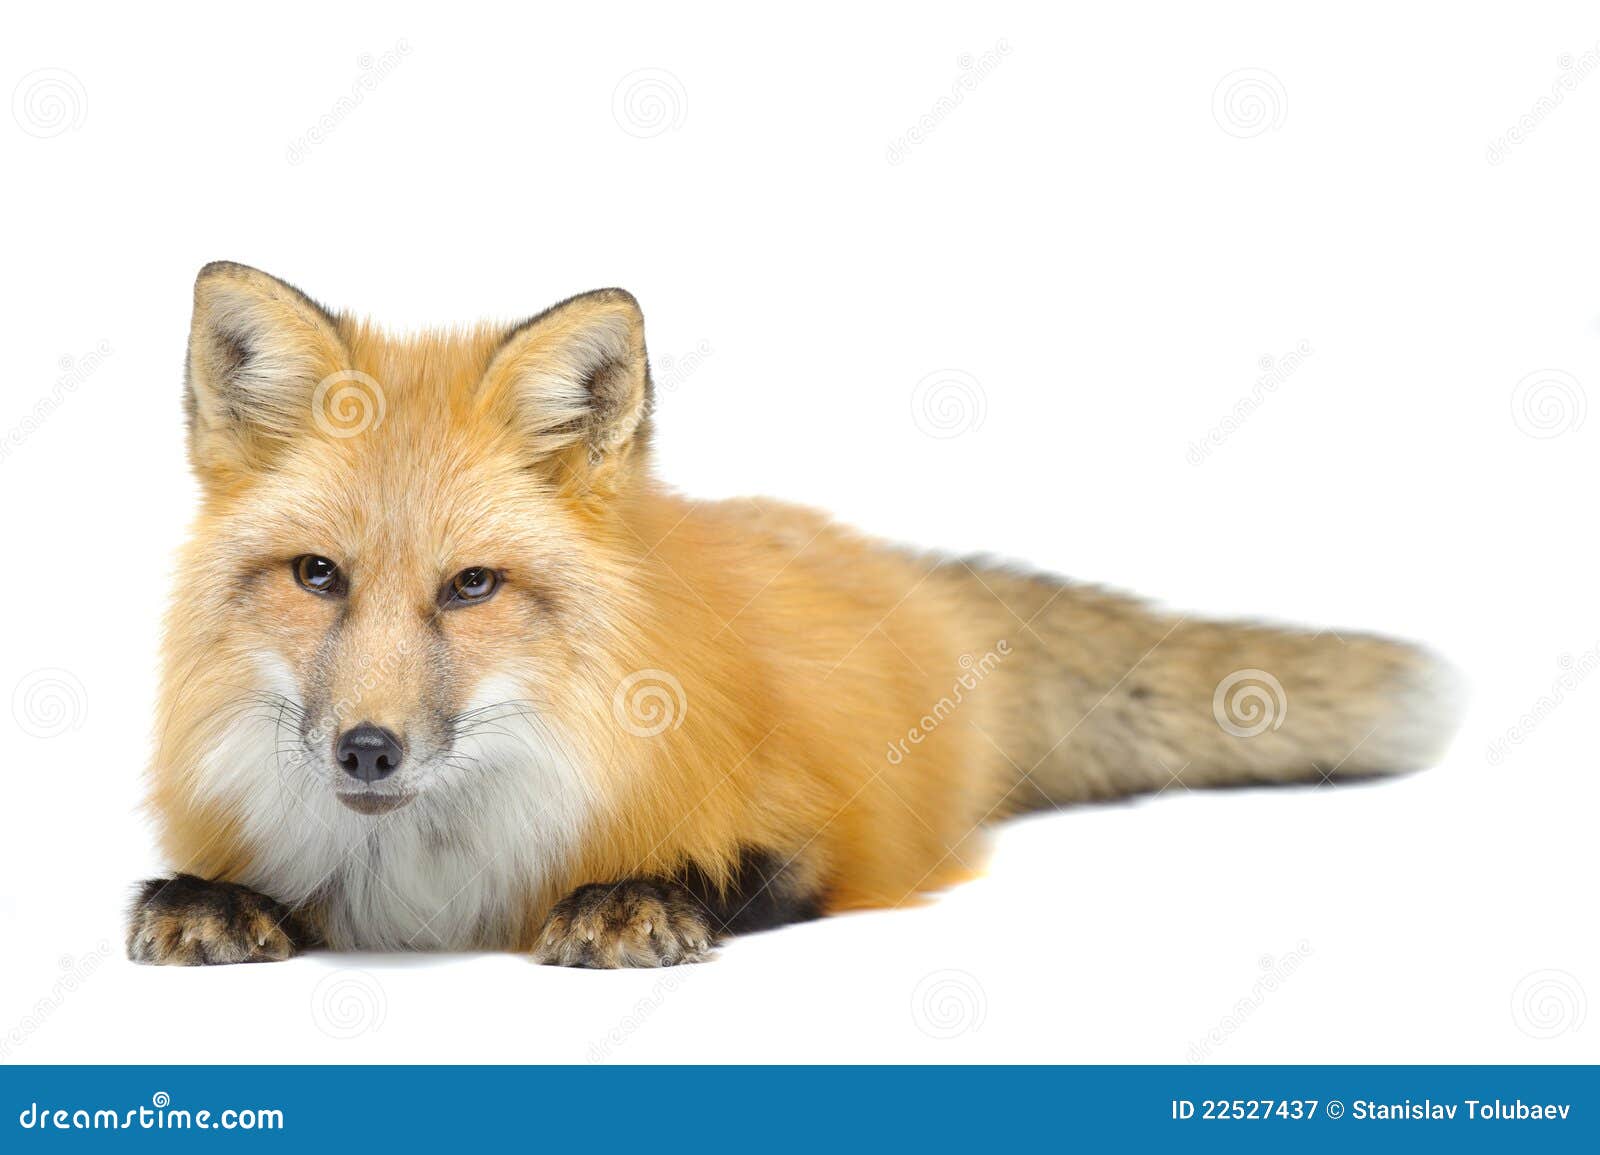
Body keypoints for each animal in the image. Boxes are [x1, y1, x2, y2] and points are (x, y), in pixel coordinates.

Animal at [127, 261, 1463, 967]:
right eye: (317, 576)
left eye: (471, 586)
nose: (367, 749)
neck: (427, 883)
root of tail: (903, 575)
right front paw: (214, 899)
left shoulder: (820, 824)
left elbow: (745, 870)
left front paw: (630, 900)